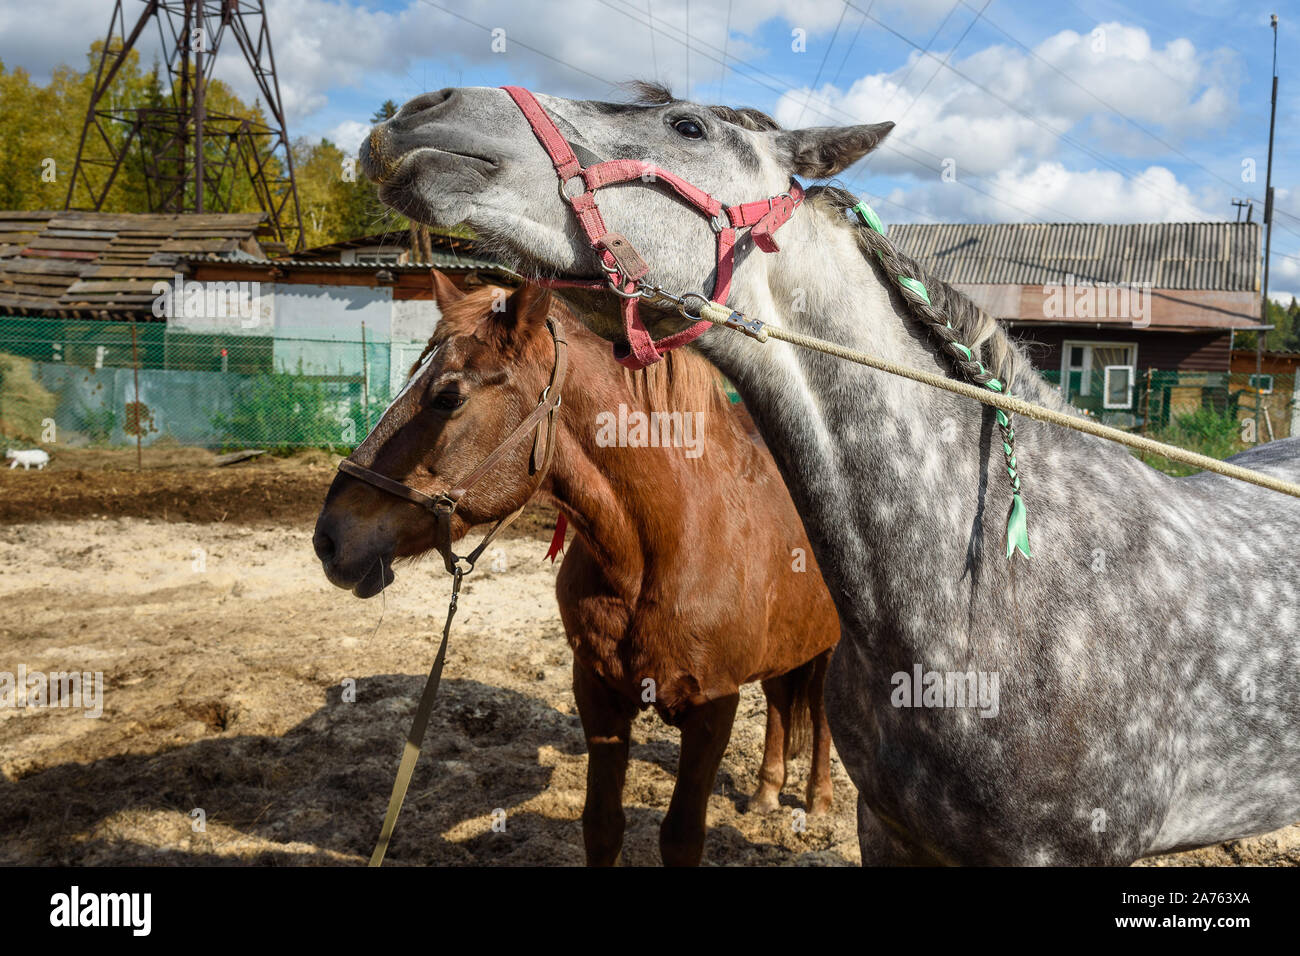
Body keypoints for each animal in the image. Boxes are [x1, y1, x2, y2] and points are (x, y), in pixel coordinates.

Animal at [313, 270, 840, 866]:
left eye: (448, 397)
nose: (329, 538)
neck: (663, 549)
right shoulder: (597, 695)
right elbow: (602, 825)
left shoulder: (712, 710)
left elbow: (682, 835)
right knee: (779, 702)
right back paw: (768, 790)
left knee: (819, 716)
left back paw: (818, 797)